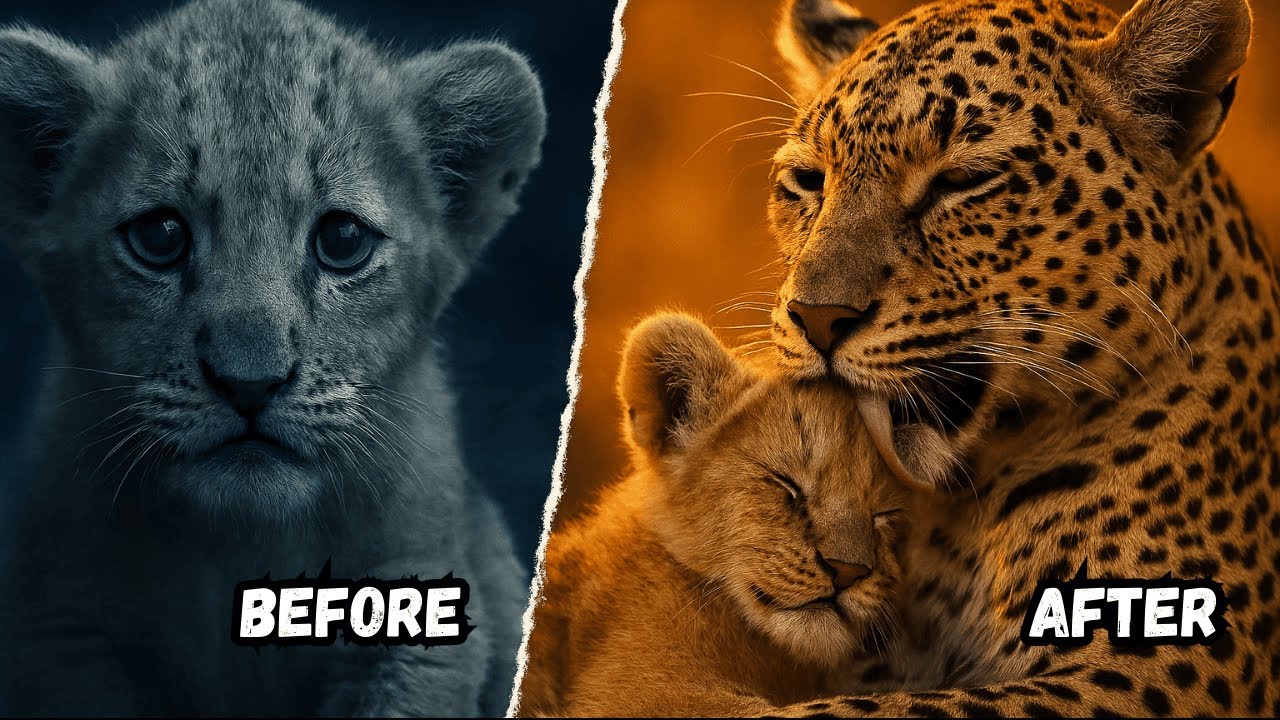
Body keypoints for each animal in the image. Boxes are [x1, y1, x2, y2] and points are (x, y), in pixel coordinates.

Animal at [0, 0, 544, 715]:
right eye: (160, 235)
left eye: (342, 238)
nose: (250, 383)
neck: (239, 549)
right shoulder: (63, 627)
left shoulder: (414, 625)